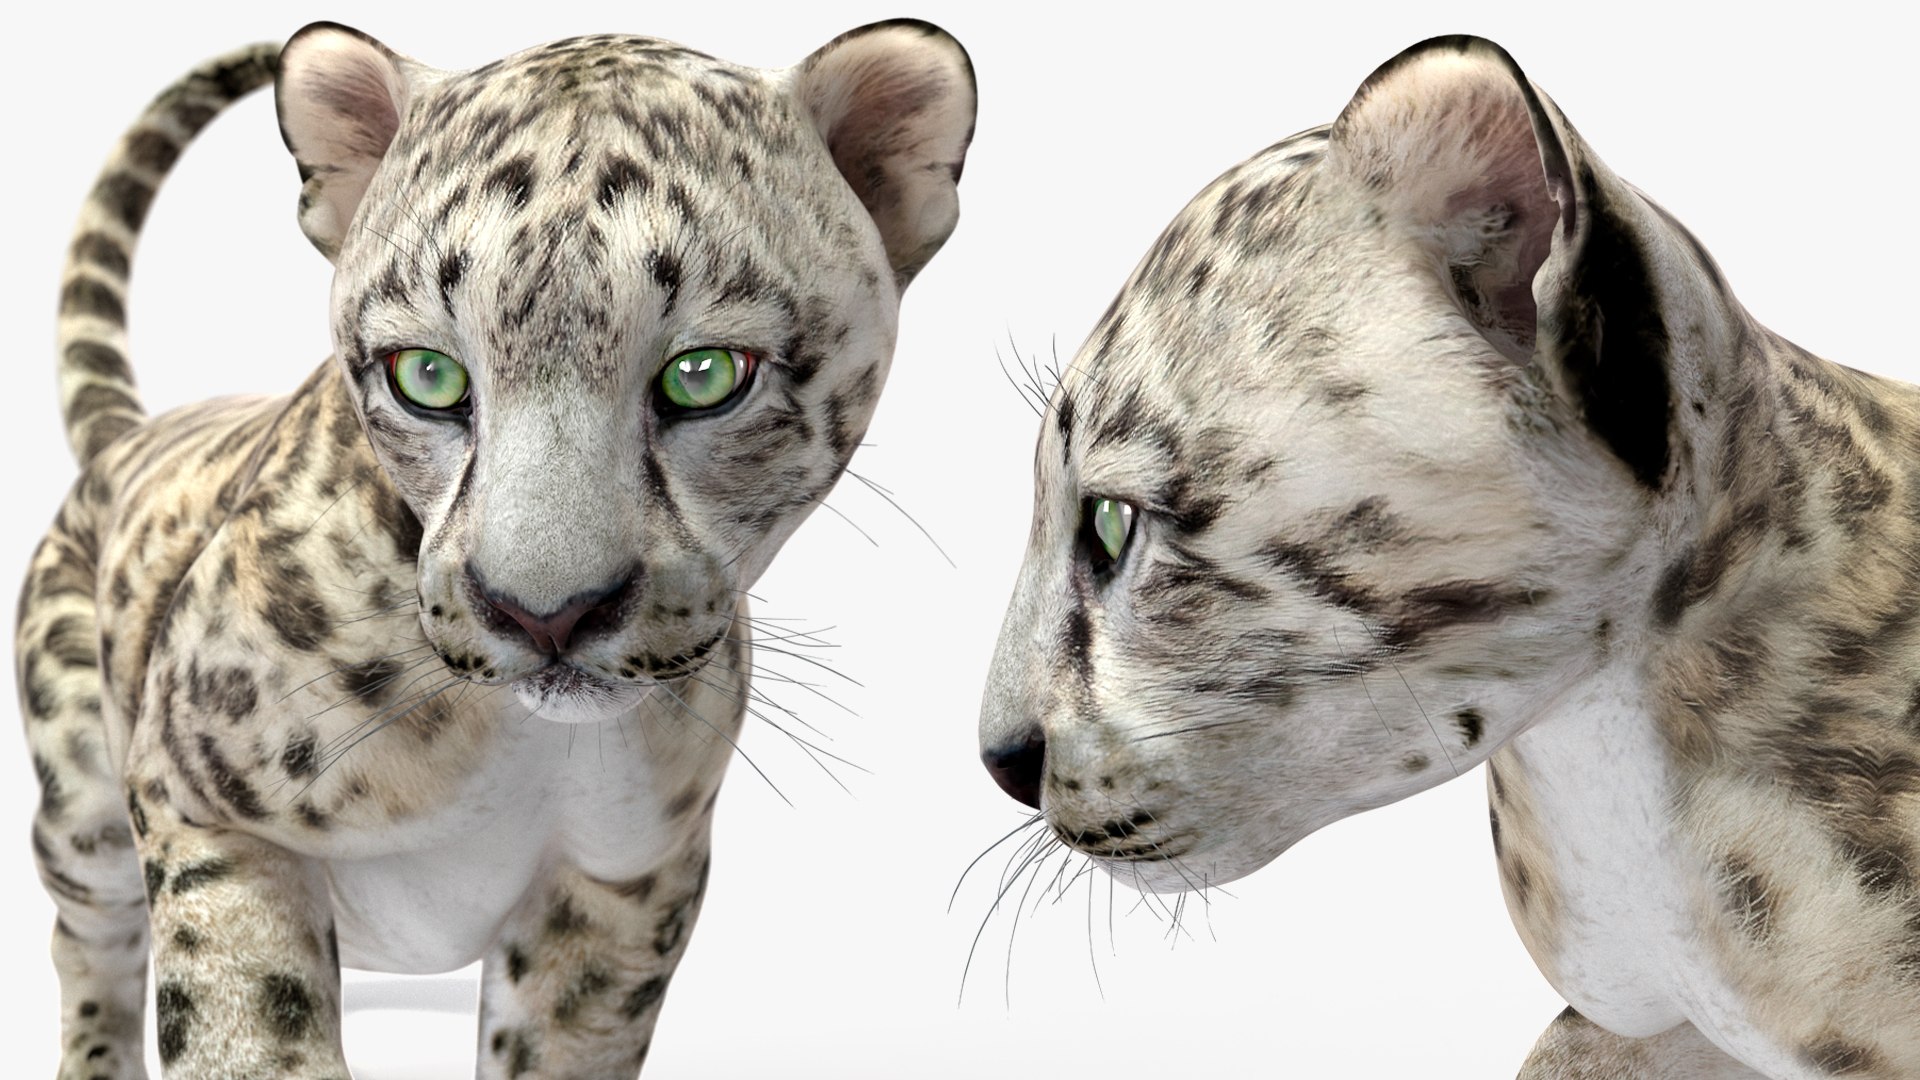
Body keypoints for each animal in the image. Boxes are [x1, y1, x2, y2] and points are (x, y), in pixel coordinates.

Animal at [19, 19, 973, 1079]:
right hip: (81, 805)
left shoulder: (622, 884)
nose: (545, 613)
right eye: (426, 375)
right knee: (88, 936)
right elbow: (249, 1026)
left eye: (707, 374)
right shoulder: (205, 805)